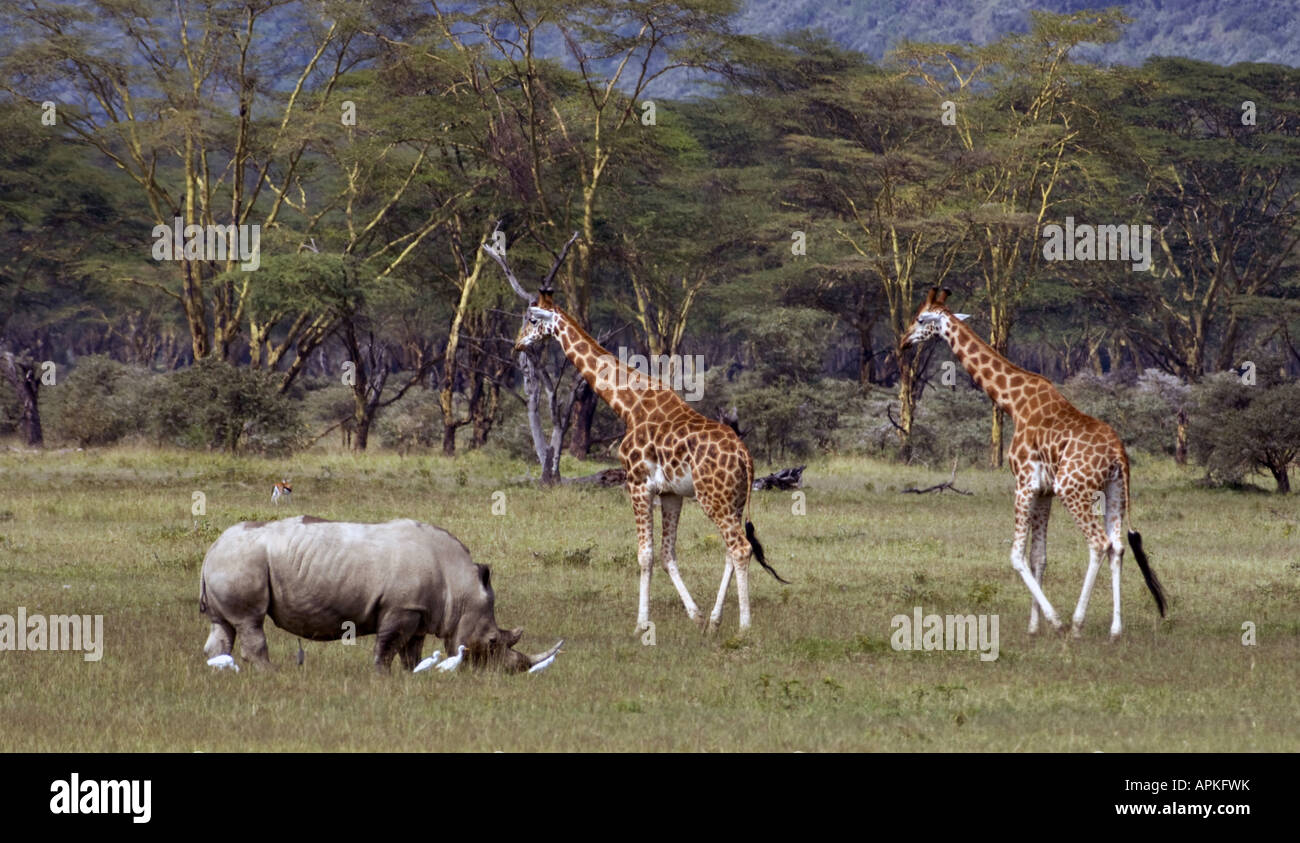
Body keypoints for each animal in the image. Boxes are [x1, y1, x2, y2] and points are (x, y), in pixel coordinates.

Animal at [483, 236, 789, 634]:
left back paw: (744, 626)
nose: (517, 345)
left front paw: (642, 625)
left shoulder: (637, 483)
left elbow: (644, 554)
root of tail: (746, 457)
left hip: (713, 498)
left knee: (739, 548)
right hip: (733, 500)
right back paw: (715, 620)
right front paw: (695, 614)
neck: (628, 405)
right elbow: (667, 554)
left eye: (532, 319)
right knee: (731, 549)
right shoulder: (670, 493)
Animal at [901, 288, 1166, 640]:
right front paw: (1033, 626)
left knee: (1099, 543)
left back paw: (1077, 624)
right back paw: (1115, 629)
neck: (1013, 403)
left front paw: (1054, 621)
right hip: (1114, 491)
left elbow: (1016, 555)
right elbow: (1039, 556)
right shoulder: (1044, 491)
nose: (903, 341)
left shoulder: (1024, 483)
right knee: (1118, 547)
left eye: (920, 319)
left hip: (1075, 490)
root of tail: (1118, 453)